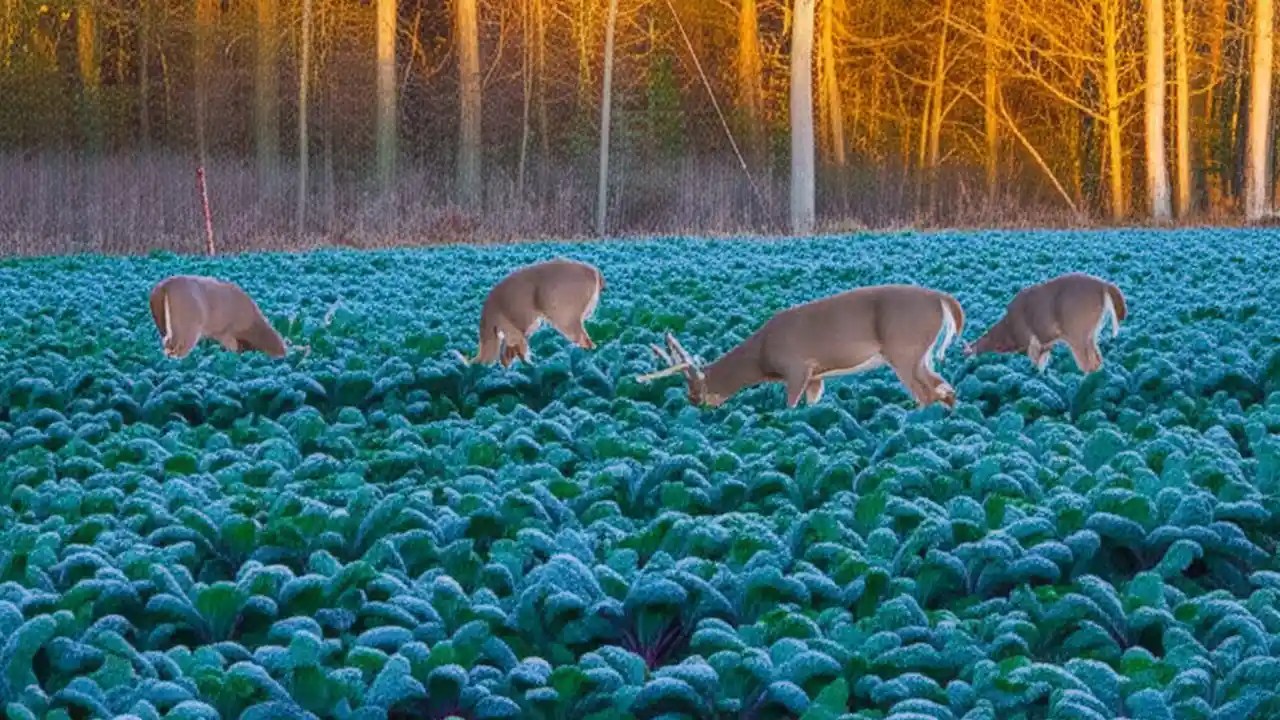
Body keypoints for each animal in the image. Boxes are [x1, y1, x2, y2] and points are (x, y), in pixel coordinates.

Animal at [148, 275, 288, 360]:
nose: (284, 354)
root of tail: (164, 286)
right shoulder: (225, 331)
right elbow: (233, 345)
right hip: (187, 326)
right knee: (179, 347)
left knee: (167, 343)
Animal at [455, 258, 606, 367]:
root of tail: (593, 272)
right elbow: (510, 354)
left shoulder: (512, 331)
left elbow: (514, 353)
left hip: (565, 319)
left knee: (584, 340)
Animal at [636, 284, 966, 410]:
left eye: (695, 388)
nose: (693, 404)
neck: (761, 357)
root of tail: (942, 299)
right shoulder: (815, 376)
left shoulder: (796, 367)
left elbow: (789, 405)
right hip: (920, 354)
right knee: (944, 388)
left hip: (905, 349)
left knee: (927, 394)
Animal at [963, 272, 1127, 373]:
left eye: (968, 348)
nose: (965, 354)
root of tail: (1104, 285)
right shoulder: (1045, 342)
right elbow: (1043, 359)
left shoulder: (1029, 339)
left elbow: (1036, 360)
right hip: (1091, 332)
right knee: (1097, 359)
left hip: (1077, 330)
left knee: (1088, 362)